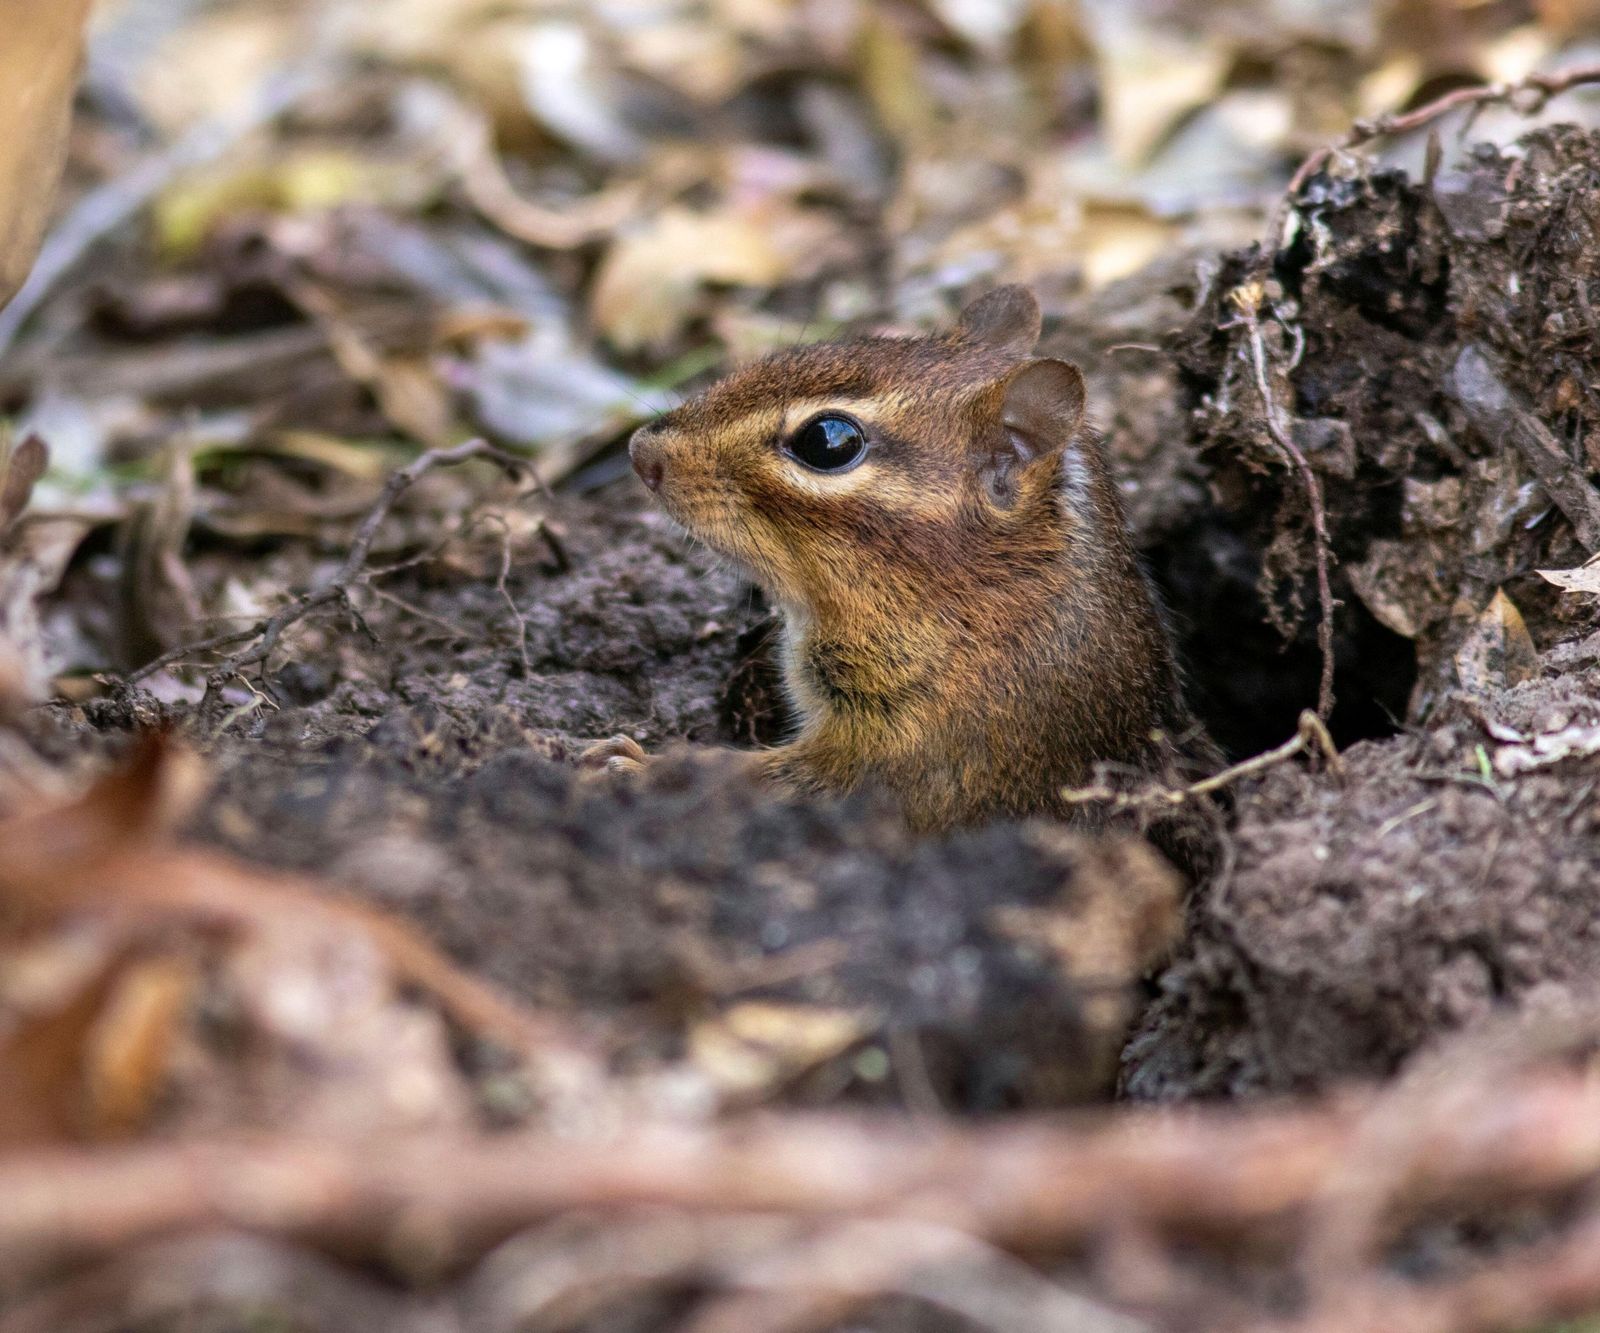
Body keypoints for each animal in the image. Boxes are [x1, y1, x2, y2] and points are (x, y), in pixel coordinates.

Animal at [582, 286, 1218, 850]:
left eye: (828, 441)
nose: (641, 451)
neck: (987, 608)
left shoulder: (908, 762)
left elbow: (756, 785)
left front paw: (638, 769)